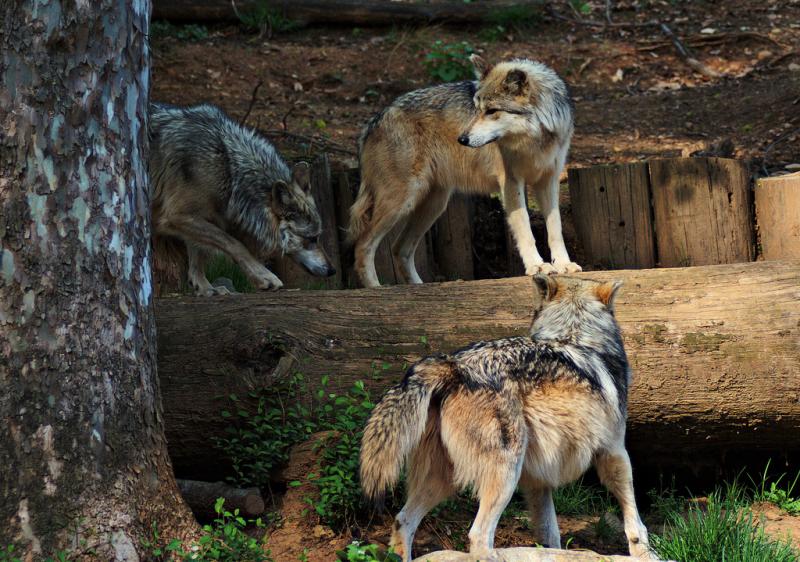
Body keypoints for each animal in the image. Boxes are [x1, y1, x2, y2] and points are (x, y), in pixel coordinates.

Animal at [148, 103, 335, 295]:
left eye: (318, 237)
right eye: (312, 239)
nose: (332, 270)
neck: (230, 170)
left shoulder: (199, 218)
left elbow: (197, 258)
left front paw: (206, 289)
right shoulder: (178, 216)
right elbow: (234, 244)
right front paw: (263, 276)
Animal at [348, 55, 581, 288]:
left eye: (491, 111)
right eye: (476, 108)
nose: (461, 139)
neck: (534, 140)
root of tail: (372, 122)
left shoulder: (549, 181)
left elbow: (555, 229)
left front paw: (563, 264)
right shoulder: (511, 183)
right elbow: (525, 229)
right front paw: (537, 265)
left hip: (433, 205)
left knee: (399, 249)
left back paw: (419, 286)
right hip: (402, 201)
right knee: (362, 246)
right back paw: (375, 288)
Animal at [360, 275, 653, 561]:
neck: (574, 334)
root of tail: (453, 366)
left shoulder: (538, 481)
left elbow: (550, 534)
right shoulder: (615, 453)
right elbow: (635, 520)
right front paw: (644, 552)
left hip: (445, 480)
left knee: (403, 520)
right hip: (505, 472)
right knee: (478, 536)